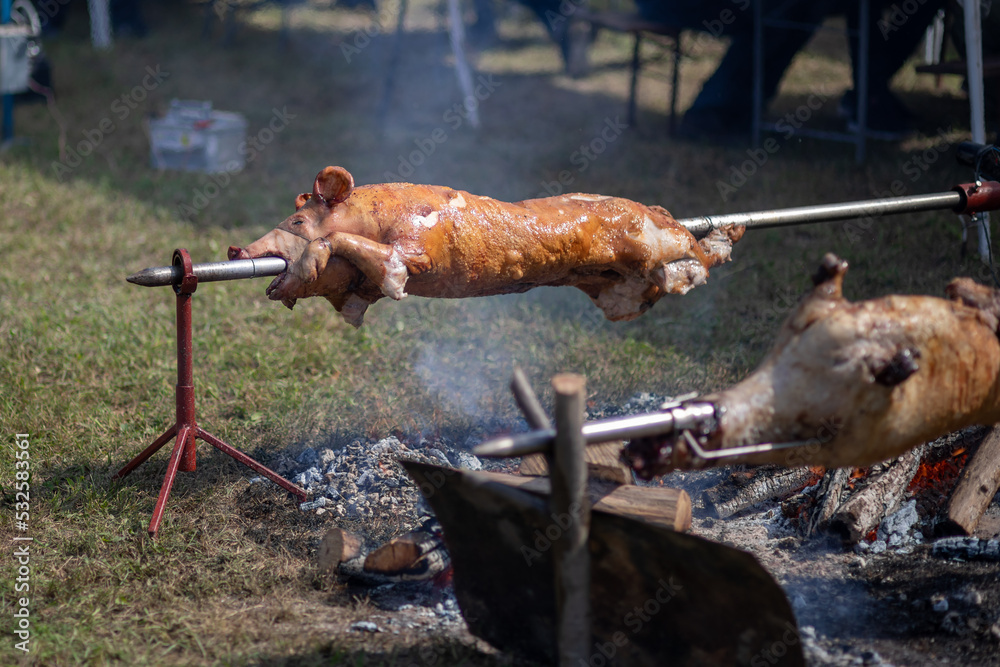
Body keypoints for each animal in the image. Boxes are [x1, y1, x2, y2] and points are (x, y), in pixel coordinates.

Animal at [228, 166, 744, 326]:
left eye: (297, 220)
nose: (236, 252)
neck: (371, 211)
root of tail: (659, 212)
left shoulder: (414, 250)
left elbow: (362, 252)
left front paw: (312, 260)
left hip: (659, 243)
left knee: (701, 257)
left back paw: (723, 235)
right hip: (624, 292)